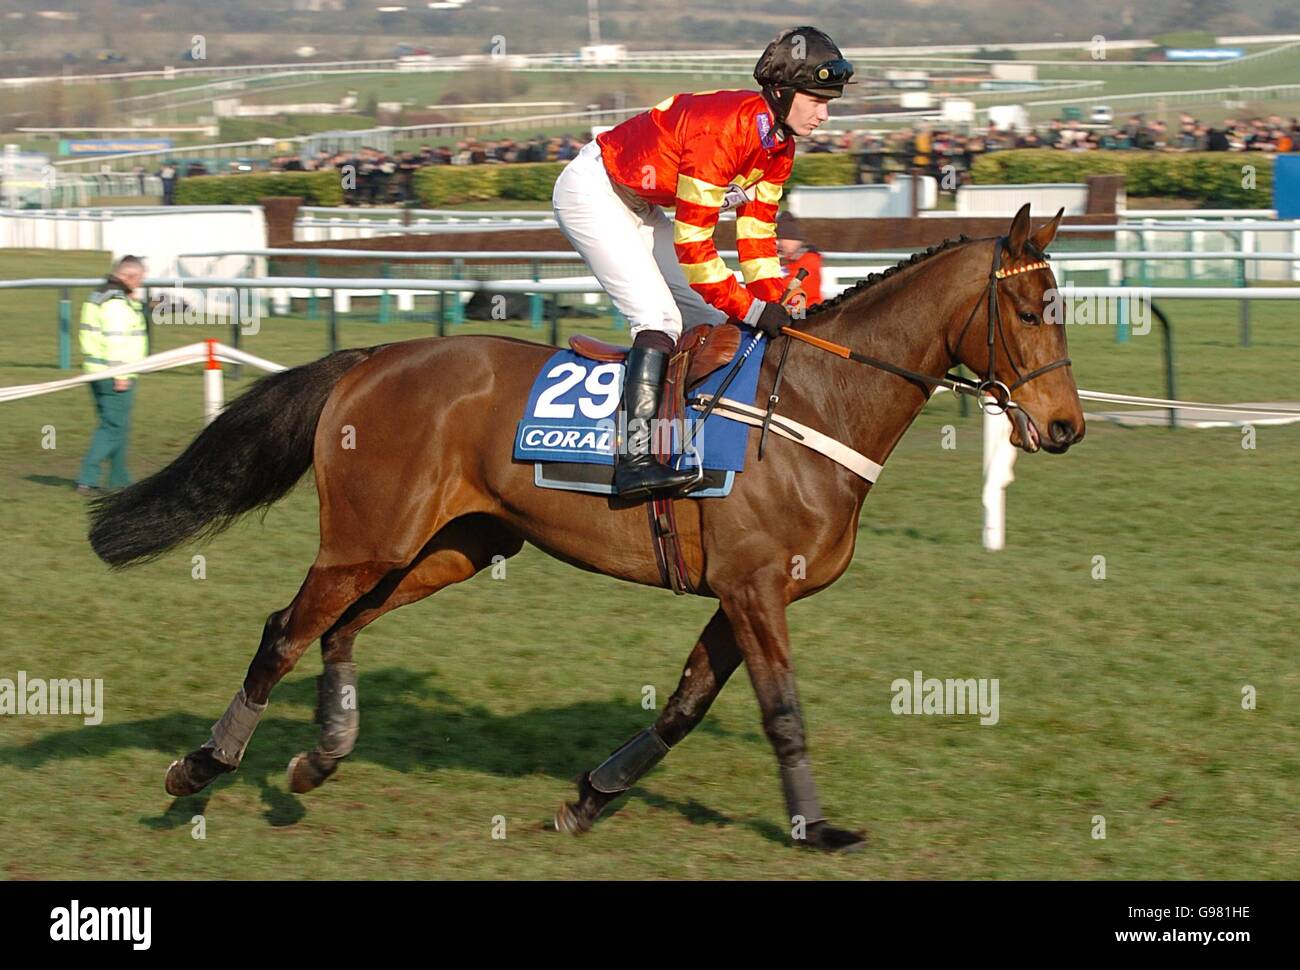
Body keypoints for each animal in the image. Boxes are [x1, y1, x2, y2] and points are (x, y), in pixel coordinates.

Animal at [88, 203, 1084, 852]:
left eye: (1062, 308)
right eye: (1027, 310)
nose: (1066, 426)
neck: (813, 405)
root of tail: (373, 358)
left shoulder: (742, 593)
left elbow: (685, 706)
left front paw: (589, 798)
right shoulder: (756, 588)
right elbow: (782, 713)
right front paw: (814, 826)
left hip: (451, 546)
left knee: (340, 628)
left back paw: (318, 759)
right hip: (365, 540)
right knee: (285, 631)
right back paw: (201, 766)